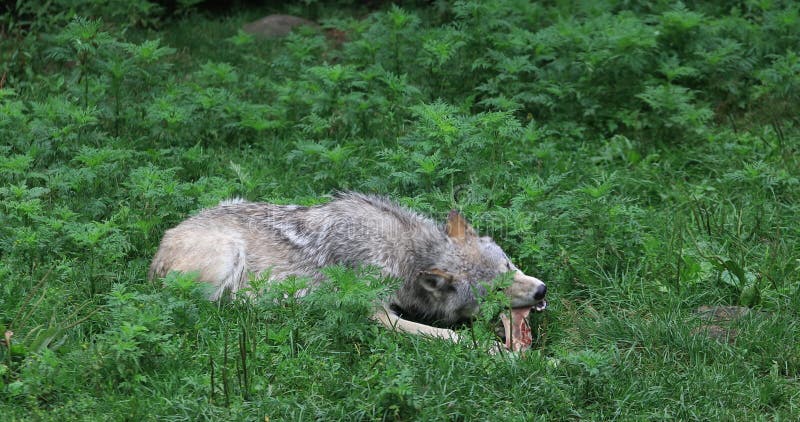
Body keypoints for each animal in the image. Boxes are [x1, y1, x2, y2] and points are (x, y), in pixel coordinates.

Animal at [149, 192, 547, 345]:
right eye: (493, 291)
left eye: (509, 266)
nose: (541, 291)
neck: (406, 256)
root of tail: (158, 252)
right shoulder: (378, 316)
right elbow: (446, 335)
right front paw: (494, 350)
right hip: (227, 258)